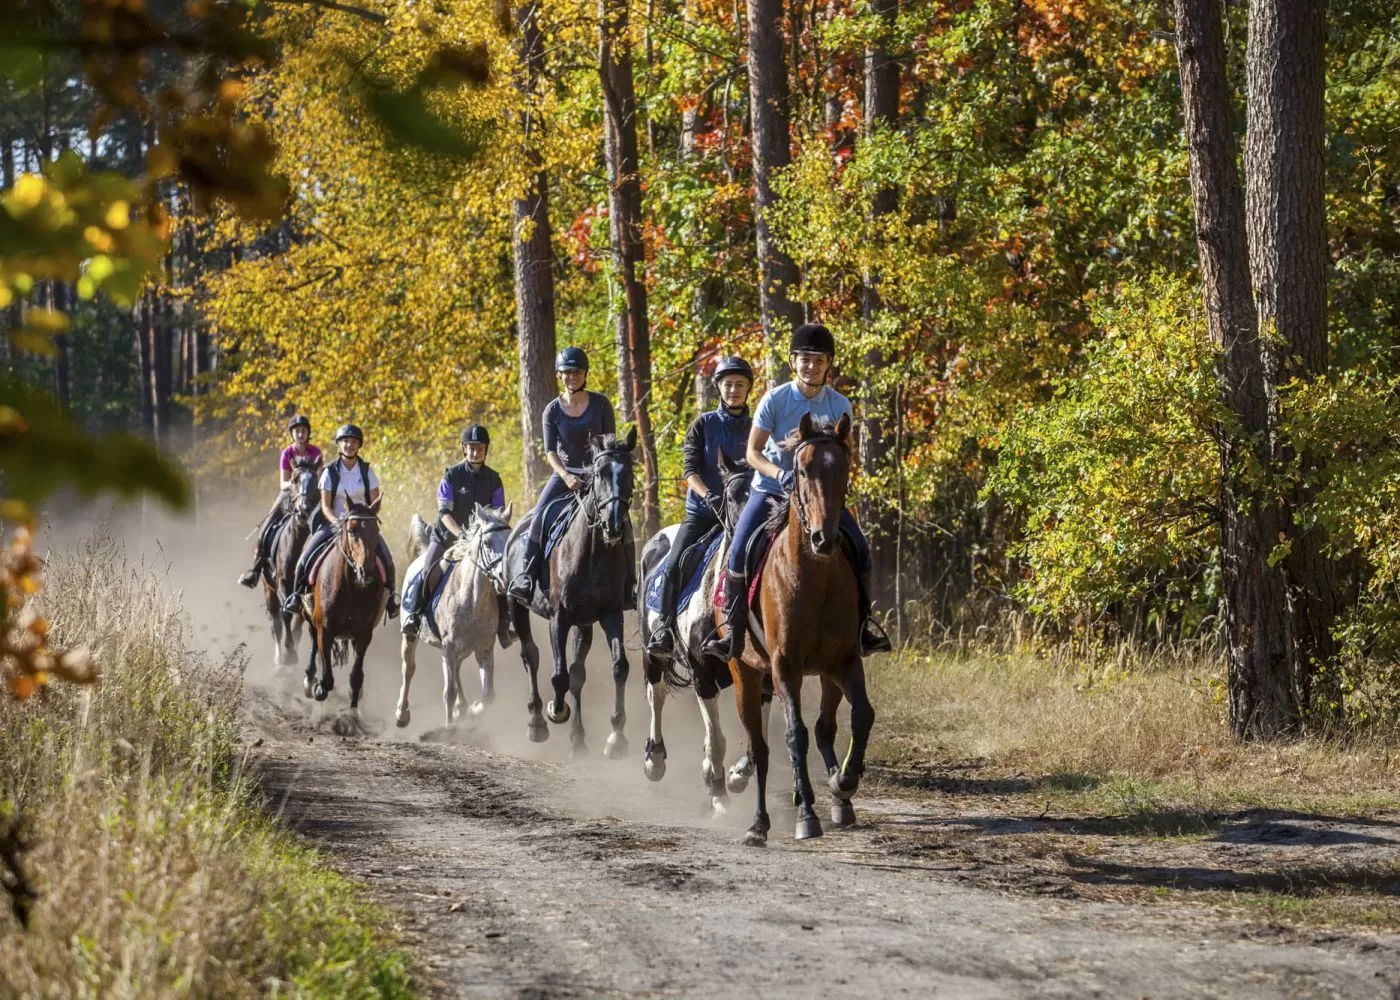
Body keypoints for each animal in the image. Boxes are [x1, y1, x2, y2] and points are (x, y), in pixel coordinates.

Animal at [261, 456, 319, 661]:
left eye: (316, 480)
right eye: (294, 480)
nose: (303, 510)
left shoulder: (303, 590)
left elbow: (298, 621)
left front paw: (293, 645)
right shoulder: (282, 583)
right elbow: (285, 614)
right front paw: (290, 654)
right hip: (268, 588)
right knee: (275, 621)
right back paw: (279, 658)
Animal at [302, 495, 386, 700]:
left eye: (376, 530)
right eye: (351, 530)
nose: (367, 572)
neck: (352, 589)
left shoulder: (364, 633)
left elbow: (356, 679)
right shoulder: (324, 628)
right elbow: (326, 680)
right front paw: (318, 688)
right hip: (309, 616)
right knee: (313, 638)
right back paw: (310, 679)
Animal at [501, 425, 638, 750]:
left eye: (629, 472)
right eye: (599, 473)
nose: (614, 526)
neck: (593, 554)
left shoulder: (611, 614)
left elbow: (619, 667)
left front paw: (616, 737)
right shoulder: (559, 617)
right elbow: (558, 675)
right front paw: (556, 710)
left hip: (584, 622)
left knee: (578, 672)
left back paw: (578, 740)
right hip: (517, 606)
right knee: (531, 656)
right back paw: (537, 722)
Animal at [722, 411, 873, 840]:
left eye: (844, 469)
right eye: (802, 470)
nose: (825, 539)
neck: (813, 578)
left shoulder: (842, 662)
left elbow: (860, 716)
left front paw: (843, 783)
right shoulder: (784, 666)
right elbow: (794, 735)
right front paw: (807, 814)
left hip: (819, 673)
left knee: (822, 728)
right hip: (745, 672)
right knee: (760, 748)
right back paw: (759, 823)